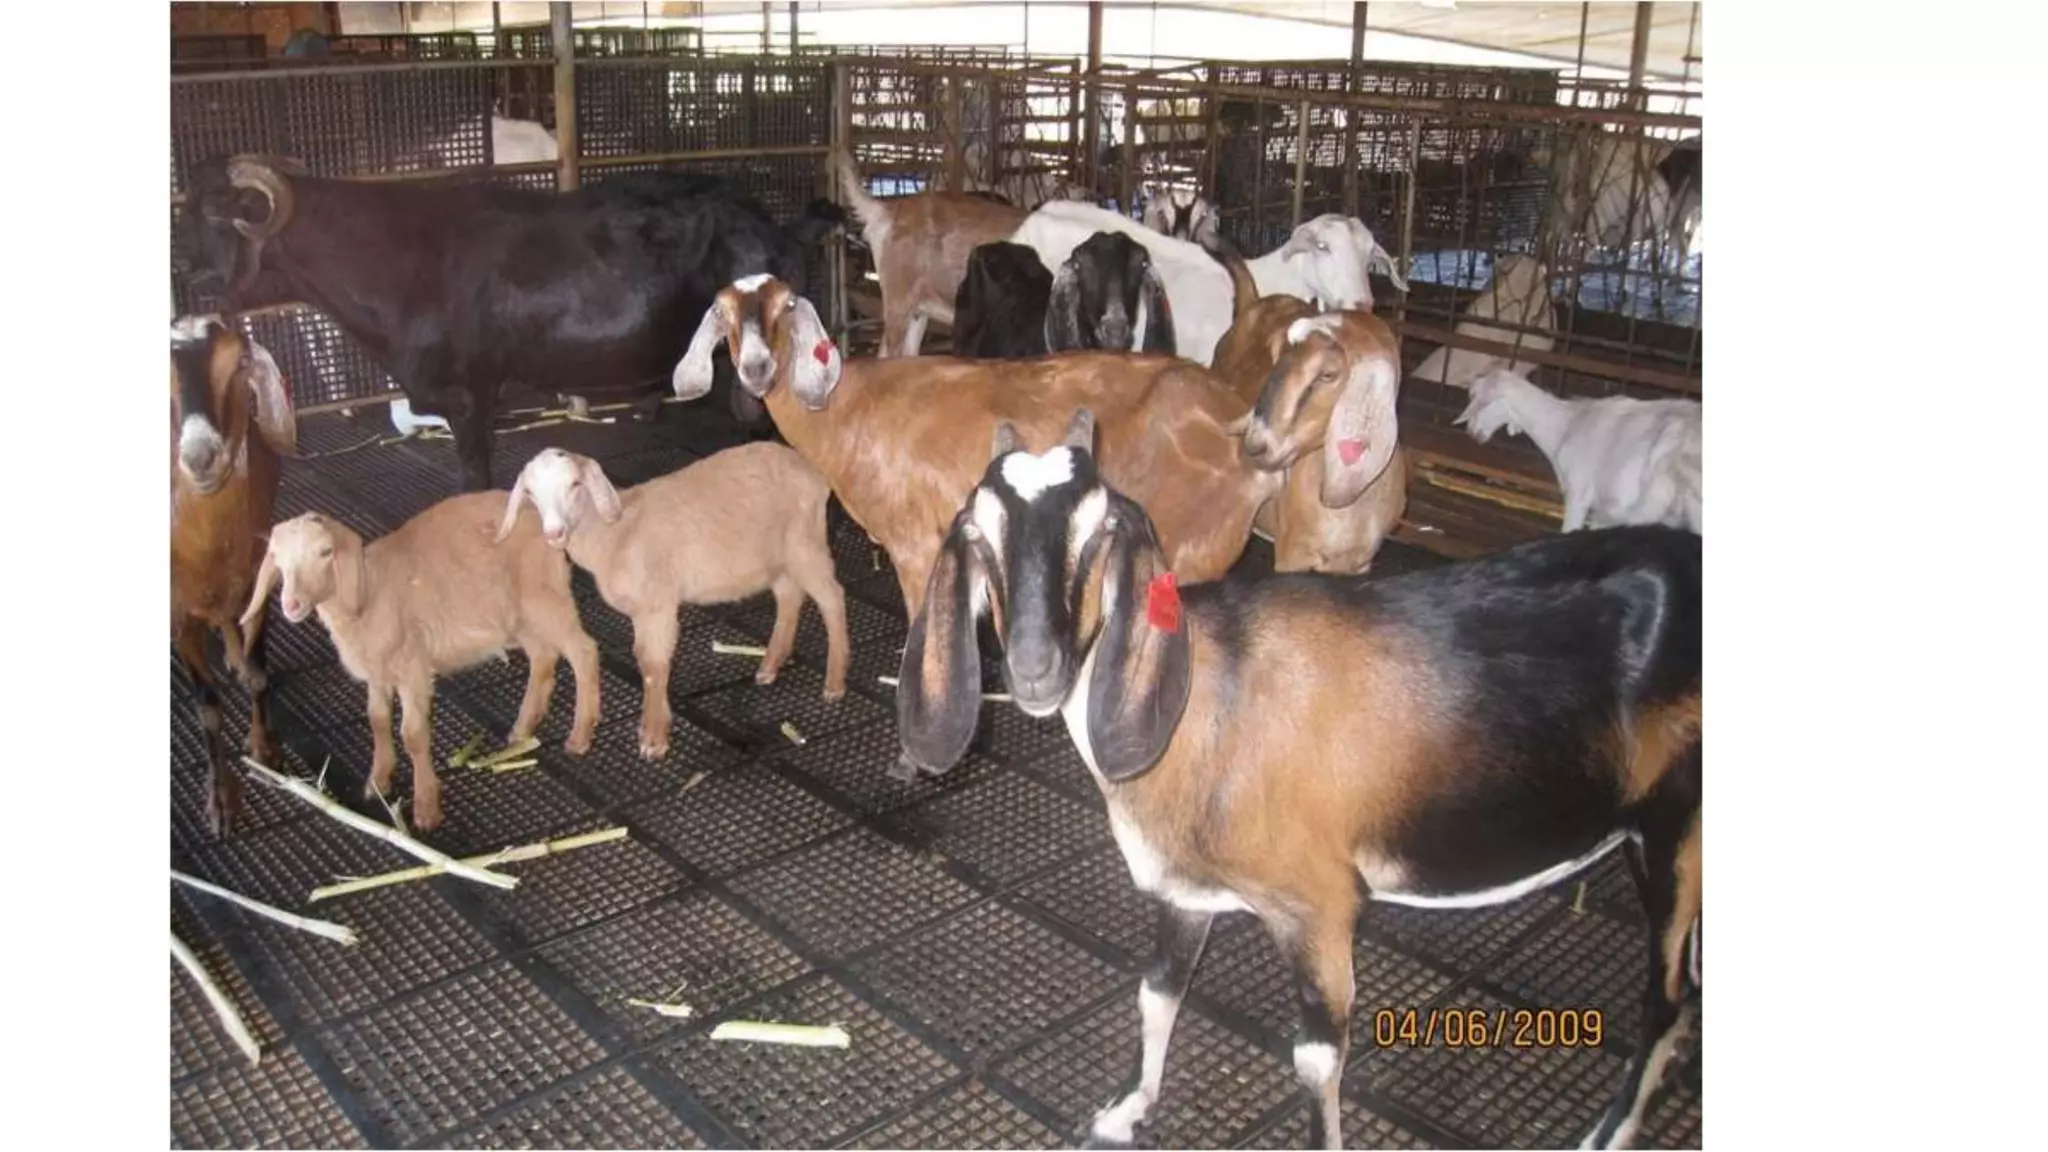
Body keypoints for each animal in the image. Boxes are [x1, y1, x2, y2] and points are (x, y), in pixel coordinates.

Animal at [174, 156, 844, 493]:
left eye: (219, 213)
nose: (181, 266)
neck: (398, 259)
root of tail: (780, 227)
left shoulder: (469, 395)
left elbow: (475, 482)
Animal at [239, 497, 602, 830]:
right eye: (277, 558)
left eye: (325, 552)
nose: (291, 604)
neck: (371, 594)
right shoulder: (378, 675)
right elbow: (378, 720)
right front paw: (378, 781)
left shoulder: (413, 669)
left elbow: (412, 734)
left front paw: (426, 808)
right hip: (518, 613)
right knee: (543, 656)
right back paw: (522, 728)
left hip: (546, 597)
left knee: (583, 651)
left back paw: (580, 735)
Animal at [497, 445, 850, 759]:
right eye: (530, 493)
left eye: (575, 484)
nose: (554, 533)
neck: (614, 534)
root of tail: (812, 472)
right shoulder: (644, 610)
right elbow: (646, 661)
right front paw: (653, 727)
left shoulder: (657, 603)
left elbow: (652, 664)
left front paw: (653, 739)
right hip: (778, 556)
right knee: (789, 597)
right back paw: (769, 667)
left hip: (805, 545)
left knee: (832, 598)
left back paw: (834, 682)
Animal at [670, 277, 1338, 620]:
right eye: (722, 315)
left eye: (785, 307)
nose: (757, 369)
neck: (846, 409)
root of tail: (1241, 418)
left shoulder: (914, 541)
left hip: (1187, 542)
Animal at [896, 422, 1702, 1150]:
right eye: (979, 536)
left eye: (1100, 533)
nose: (1034, 668)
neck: (1209, 703)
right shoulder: (1187, 891)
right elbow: (1157, 992)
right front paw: (1125, 1109)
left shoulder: (1317, 906)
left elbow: (1315, 1063)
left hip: (1677, 834)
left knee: (1665, 1001)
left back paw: (1611, 1132)